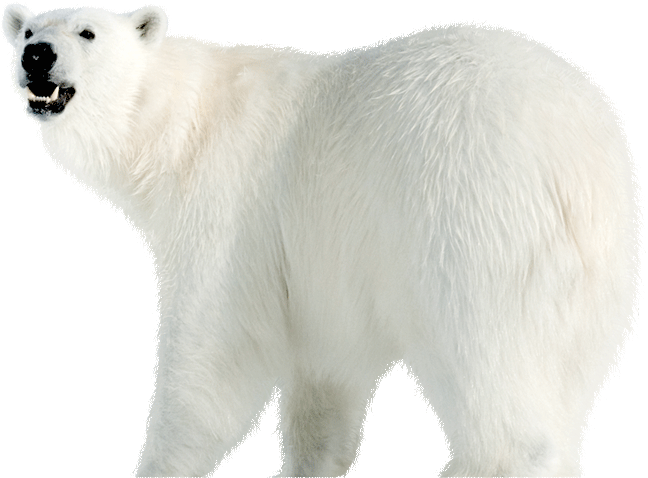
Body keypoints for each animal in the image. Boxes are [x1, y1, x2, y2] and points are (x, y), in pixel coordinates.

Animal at [2, 4, 637, 477]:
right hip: (596, 276)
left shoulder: (230, 205)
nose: (37, 55)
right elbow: (324, 376)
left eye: (87, 32)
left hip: (465, 221)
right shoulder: (320, 276)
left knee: (489, 367)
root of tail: (572, 161)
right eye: (28, 30)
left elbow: (212, 349)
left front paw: (162, 462)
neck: (181, 125)